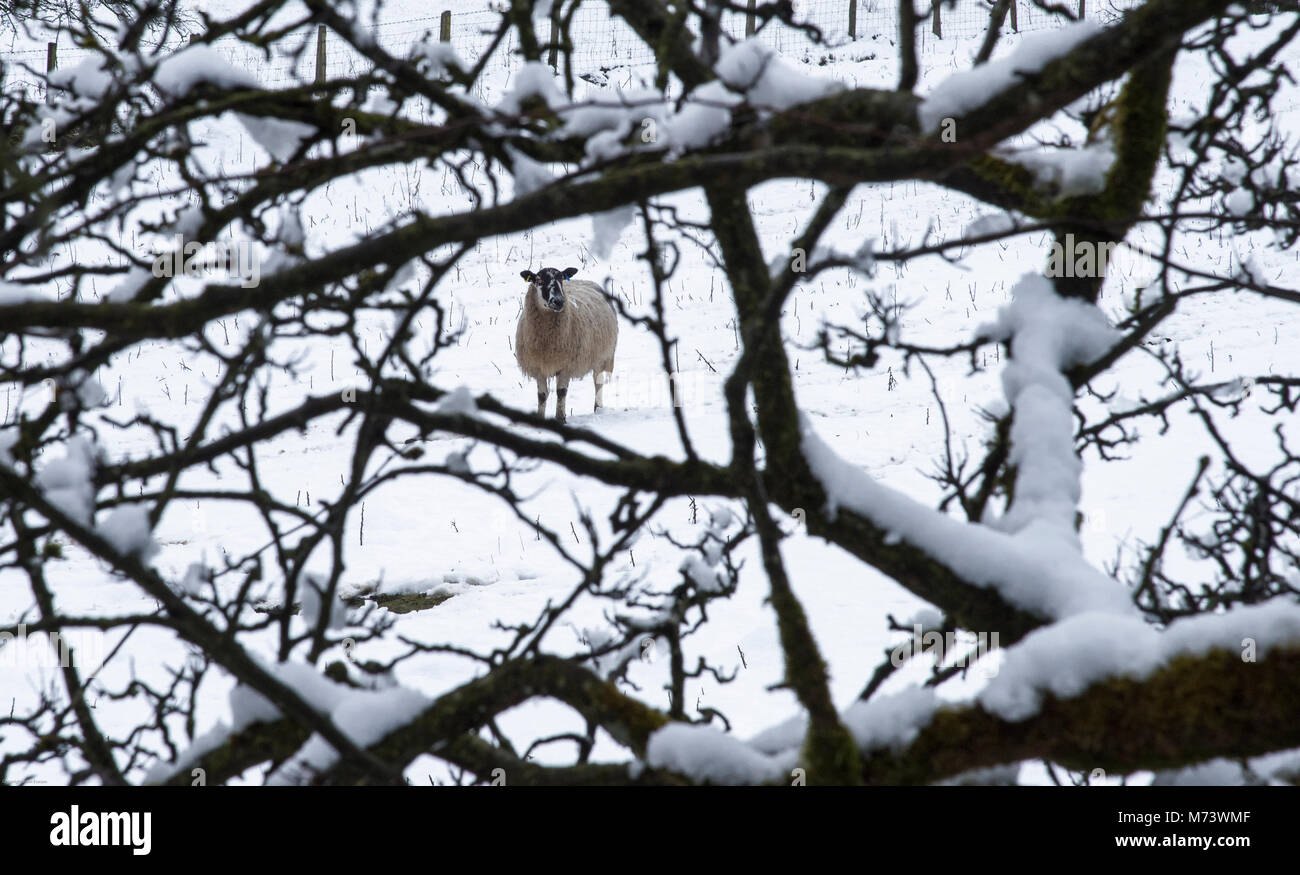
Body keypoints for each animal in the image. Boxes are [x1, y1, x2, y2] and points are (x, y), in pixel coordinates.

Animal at [515, 266, 618, 423]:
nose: (558, 301)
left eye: (562, 279)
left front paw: (560, 418)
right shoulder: (538, 367)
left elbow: (561, 392)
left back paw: (598, 408)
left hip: (603, 355)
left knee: (598, 382)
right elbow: (542, 396)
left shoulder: (566, 366)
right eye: (538, 280)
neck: (547, 341)